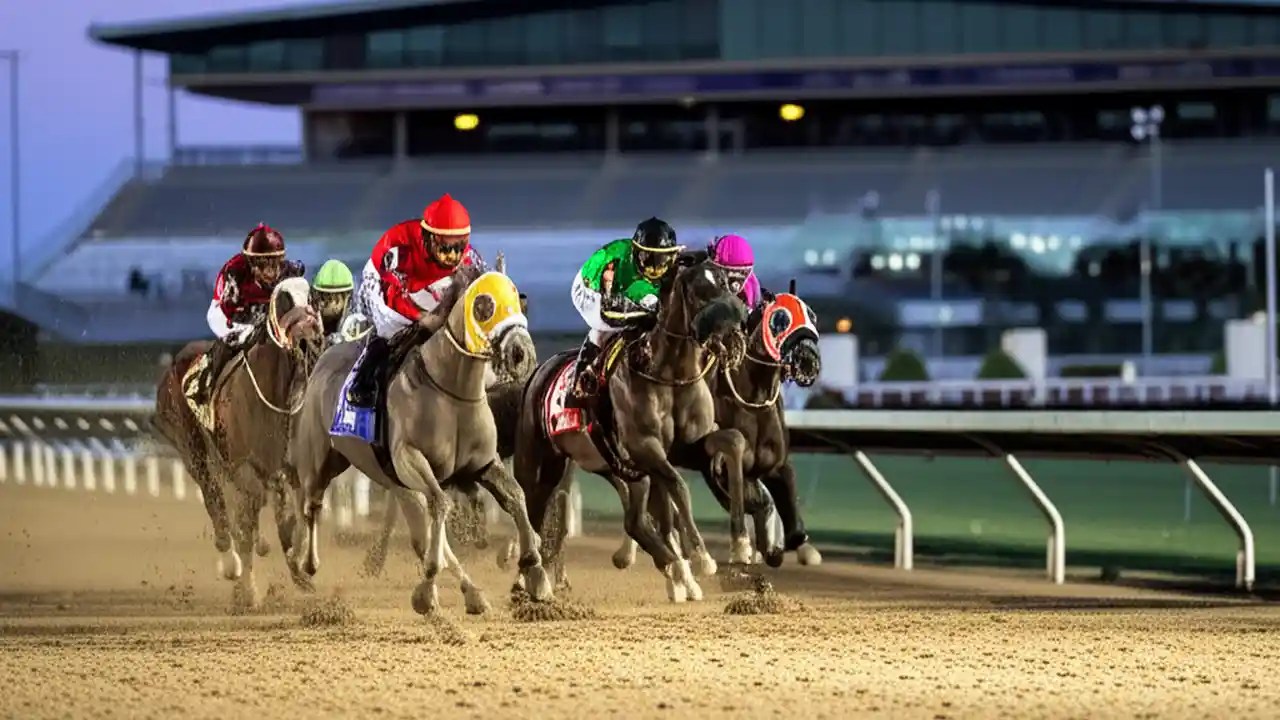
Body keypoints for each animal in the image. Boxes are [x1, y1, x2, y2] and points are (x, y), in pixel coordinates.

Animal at [152, 277, 324, 610]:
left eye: (311, 297)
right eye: (284, 299)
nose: (311, 330)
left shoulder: (293, 467)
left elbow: (298, 514)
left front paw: (302, 564)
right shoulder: (244, 467)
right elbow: (260, 519)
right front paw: (251, 589)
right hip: (194, 451)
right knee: (217, 504)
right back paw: (233, 565)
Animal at [289, 260, 551, 615]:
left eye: (519, 301)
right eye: (484, 305)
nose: (521, 353)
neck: (451, 390)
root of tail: (324, 357)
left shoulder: (482, 464)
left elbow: (516, 496)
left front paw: (535, 570)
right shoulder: (409, 458)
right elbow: (440, 505)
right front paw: (426, 587)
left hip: (394, 483)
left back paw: (473, 592)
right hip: (321, 458)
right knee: (311, 504)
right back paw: (304, 564)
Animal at [515, 254, 751, 603]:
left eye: (725, 283)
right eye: (697, 291)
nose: (732, 335)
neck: (669, 375)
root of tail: (539, 372)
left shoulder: (685, 448)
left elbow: (733, 441)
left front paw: (740, 546)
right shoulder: (646, 447)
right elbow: (679, 486)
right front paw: (702, 556)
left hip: (622, 469)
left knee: (635, 521)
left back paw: (672, 570)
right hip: (541, 465)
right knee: (530, 511)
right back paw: (532, 581)